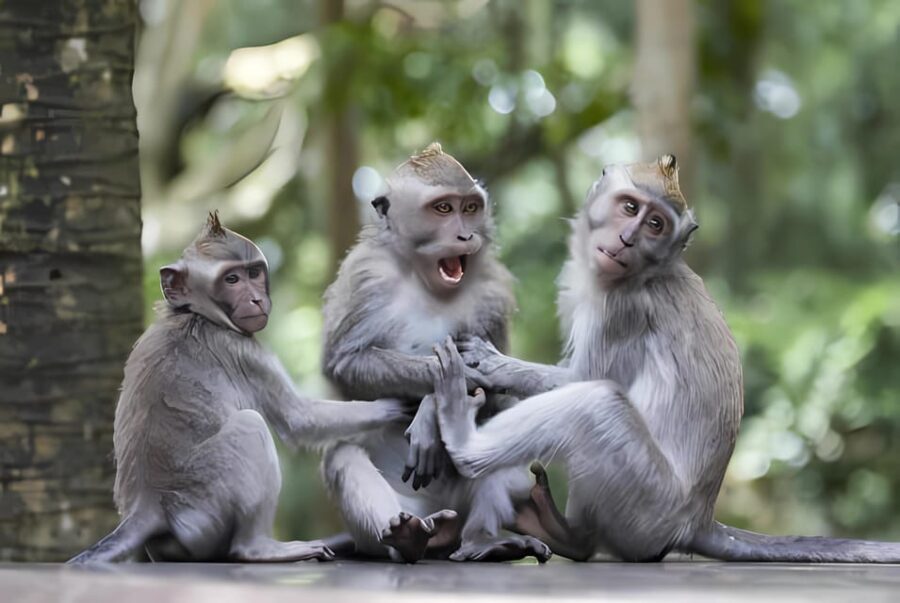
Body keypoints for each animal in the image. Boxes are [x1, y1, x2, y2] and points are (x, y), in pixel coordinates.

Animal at [68, 213, 409, 564]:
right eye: (231, 279)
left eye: (254, 273)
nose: (256, 299)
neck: (195, 314)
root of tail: (146, 506)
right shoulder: (241, 349)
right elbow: (298, 419)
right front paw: (395, 406)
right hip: (202, 503)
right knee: (250, 427)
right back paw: (258, 547)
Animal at [319, 143, 550, 563]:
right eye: (443, 208)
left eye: (470, 207)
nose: (465, 235)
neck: (425, 279)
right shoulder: (366, 276)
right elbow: (346, 365)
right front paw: (451, 382)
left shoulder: (491, 292)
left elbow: (498, 391)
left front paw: (433, 408)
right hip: (397, 515)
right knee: (344, 456)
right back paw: (406, 538)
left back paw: (485, 542)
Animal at [433, 155, 900, 563]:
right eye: (630, 207)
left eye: (655, 224)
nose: (627, 239)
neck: (645, 272)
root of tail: (697, 522)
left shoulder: (620, 311)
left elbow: (584, 377)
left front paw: (496, 364)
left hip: (646, 505)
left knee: (598, 403)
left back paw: (468, 446)